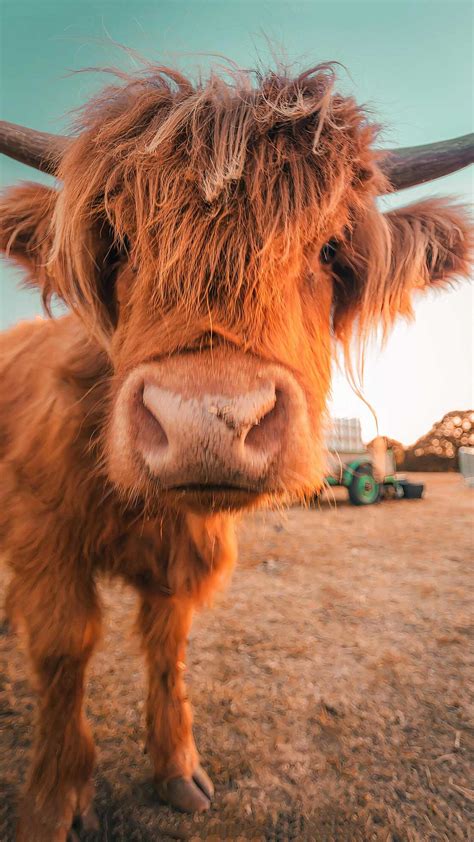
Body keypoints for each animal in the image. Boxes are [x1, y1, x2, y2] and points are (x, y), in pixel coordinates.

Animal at [0, 63, 472, 841]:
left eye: (330, 250)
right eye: (116, 243)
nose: (207, 420)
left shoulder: (186, 559)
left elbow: (167, 647)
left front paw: (176, 767)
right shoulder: (45, 533)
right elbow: (66, 649)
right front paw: (52, 800)